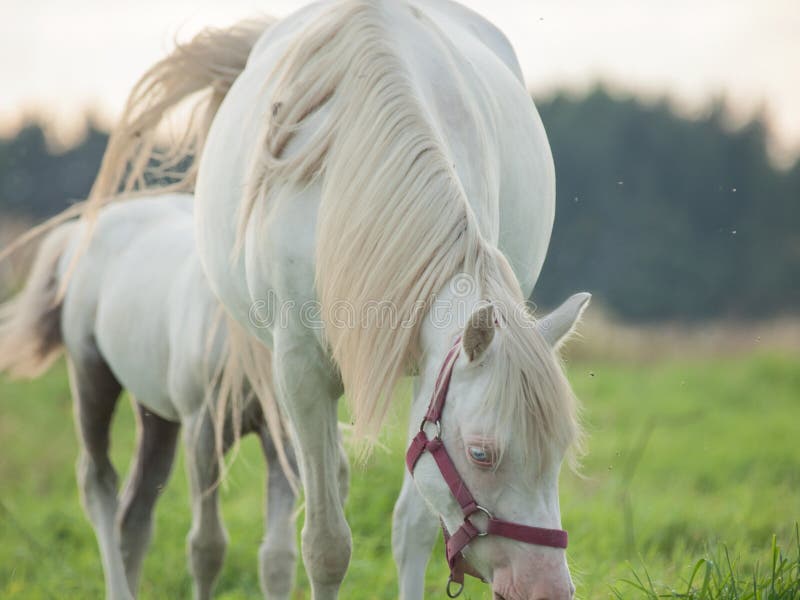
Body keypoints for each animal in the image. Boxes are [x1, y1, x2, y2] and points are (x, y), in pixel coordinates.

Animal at [0, 194, 312, 600]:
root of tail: (78, 231)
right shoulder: (202, 431)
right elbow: (207, 547)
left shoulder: (283, 438)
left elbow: (277, 556)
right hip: (91, 376)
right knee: (98, 480)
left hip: (157, 417)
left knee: (135, 512)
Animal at [80, 1, 591, 598]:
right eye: (482, 454)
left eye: (559, 449)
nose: (547, 586)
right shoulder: (299, 370)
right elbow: (326, 546)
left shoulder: (423, 367)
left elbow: (413, 528)